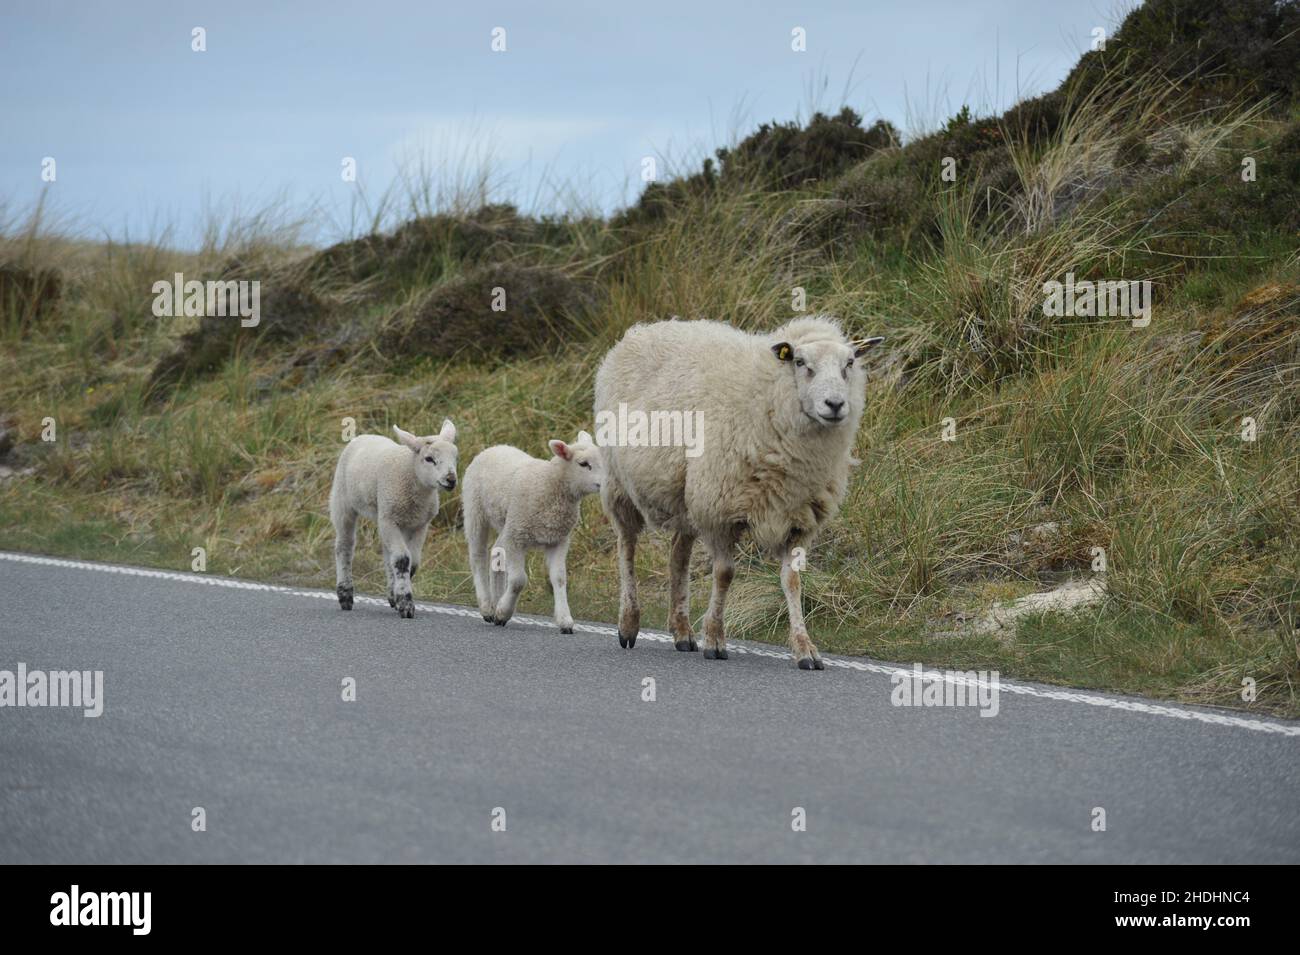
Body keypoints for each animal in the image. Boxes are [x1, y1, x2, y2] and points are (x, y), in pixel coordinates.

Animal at [330, 420, 459, 618]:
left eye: (455, 457)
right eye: (429, 459)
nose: (451, 480)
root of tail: (364, 436)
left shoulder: (420, 524)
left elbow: (412, 562)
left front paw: (397, 594)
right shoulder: (390, 520)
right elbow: (402, 559)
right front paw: (405, 603)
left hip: (388, 516)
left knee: (386, 552)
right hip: (344, 502)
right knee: (345, 546)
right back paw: (345, 594)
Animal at [462, 431, 605, 632]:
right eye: (584, 464)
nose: (606, 483)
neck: (549, 484)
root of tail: (493, 448)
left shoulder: (558, 540)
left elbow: (559, 578)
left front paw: (564, 620)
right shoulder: (517, 537)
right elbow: (518, 580)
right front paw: (503, 612)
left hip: (508, 524)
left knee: (496, 552)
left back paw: (496, 600)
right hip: (476, 511)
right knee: (477, 557)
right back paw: (487, 608)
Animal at [593, 316, 883, 669]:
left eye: (850, 363)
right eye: (801, 363)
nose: (836, 404)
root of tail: (641, 330)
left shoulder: (798, 518)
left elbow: (793, 581)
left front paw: (805, 649)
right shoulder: (720, 510)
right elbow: (724, 574)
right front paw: (715, 639)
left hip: (687, 494)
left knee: (678, 554)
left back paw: (682, 631)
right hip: (620, 483)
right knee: (627, 547)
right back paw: (629, 623)